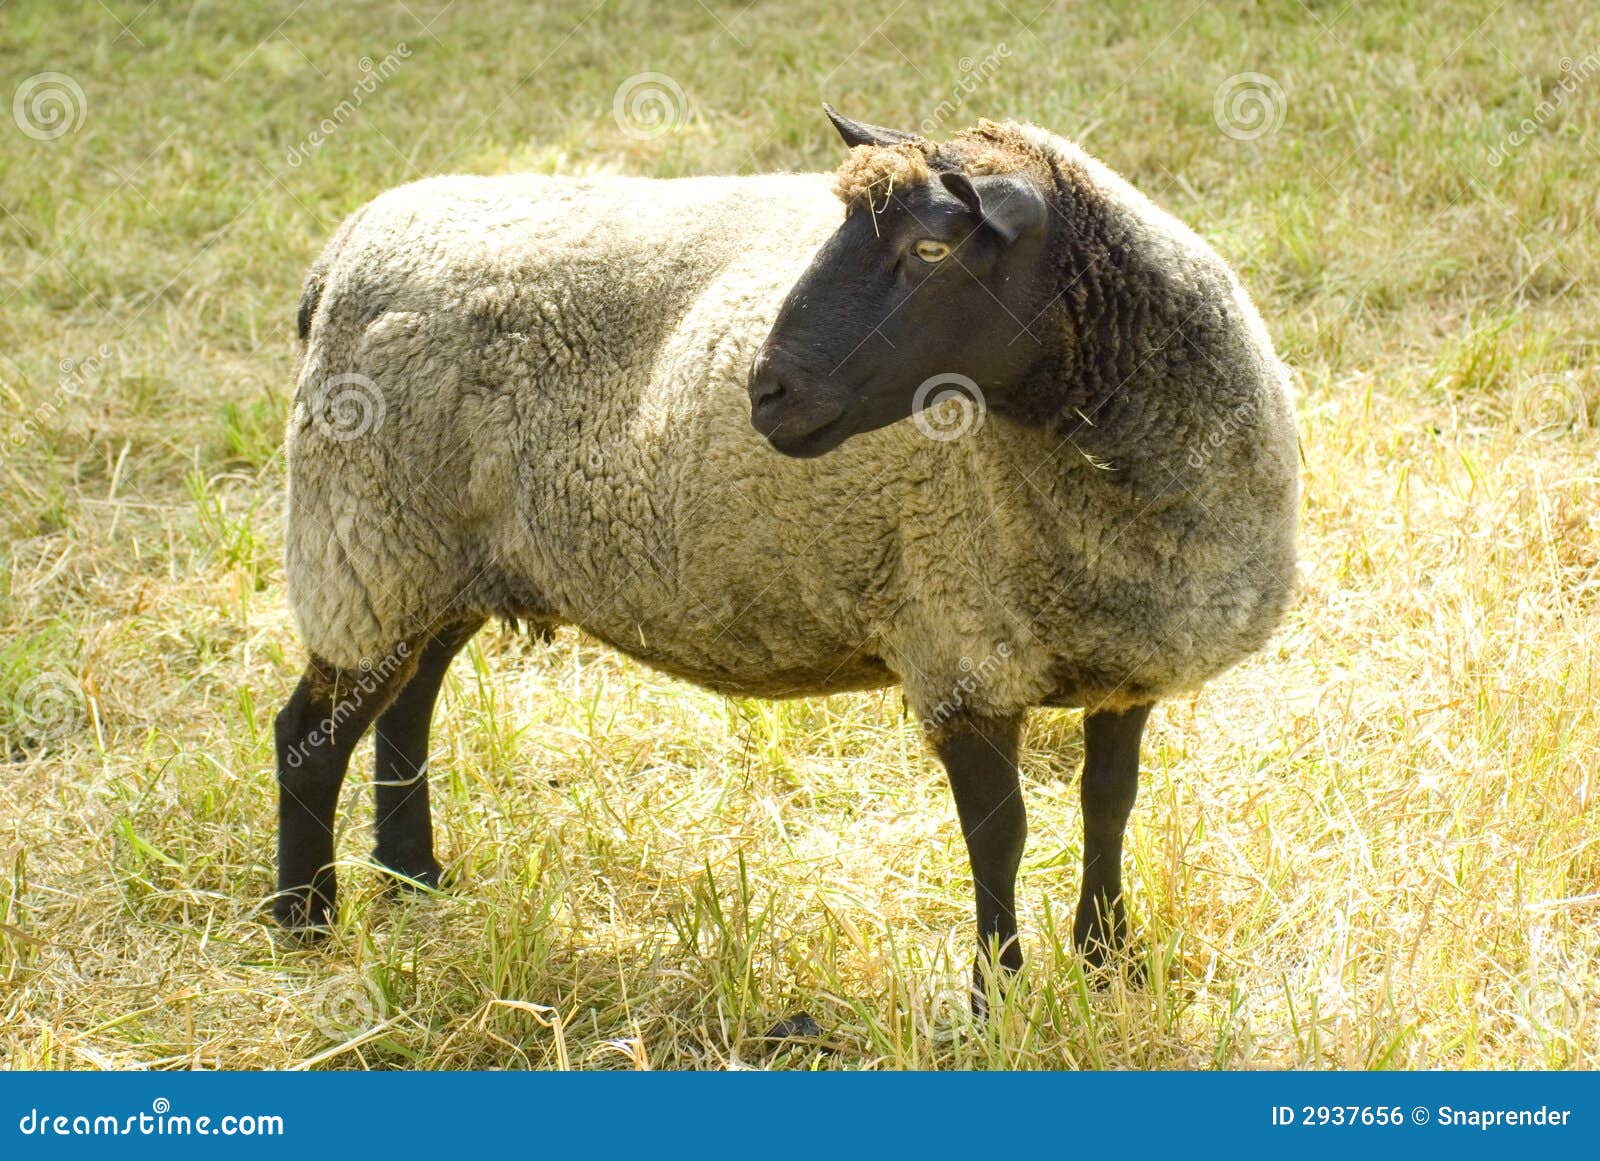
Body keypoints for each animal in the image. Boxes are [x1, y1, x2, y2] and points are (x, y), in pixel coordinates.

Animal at [273, 107, 1298, 1006]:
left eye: (932, 251)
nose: (764, 392)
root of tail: (350, 244)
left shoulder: (1125, 660)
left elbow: (1107, 805)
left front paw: (1109, 963)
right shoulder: (961, 651)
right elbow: (999, 836)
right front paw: (997, 999)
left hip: (430, 559)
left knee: (408, 703)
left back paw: (414, 877)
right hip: (362, 535)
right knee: (307, 737)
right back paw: (303, 920)